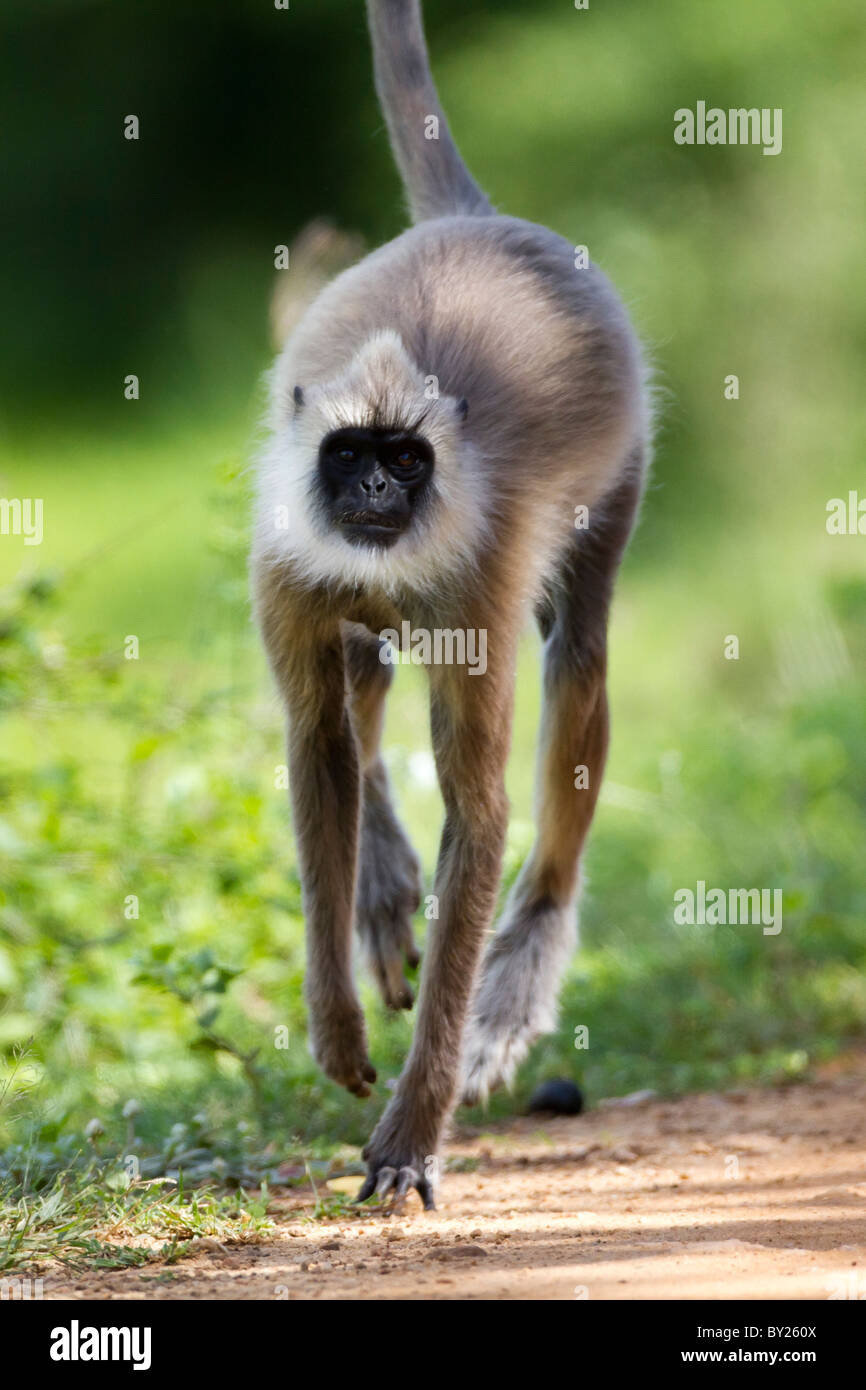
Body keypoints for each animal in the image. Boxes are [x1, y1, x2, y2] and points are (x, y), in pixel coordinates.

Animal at [252, 0, 651, 1210]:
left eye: (406, 460)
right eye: (351, 456)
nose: (379, 494)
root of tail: (477, 225)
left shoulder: (474, 573)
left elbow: (479, 813)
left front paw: (412, 1129)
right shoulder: (291, 565)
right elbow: (315, 754)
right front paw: (335, 1027)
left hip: (615, 479)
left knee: (578, 655)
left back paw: (518, 968)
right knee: (359, 679)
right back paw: (381, 886)